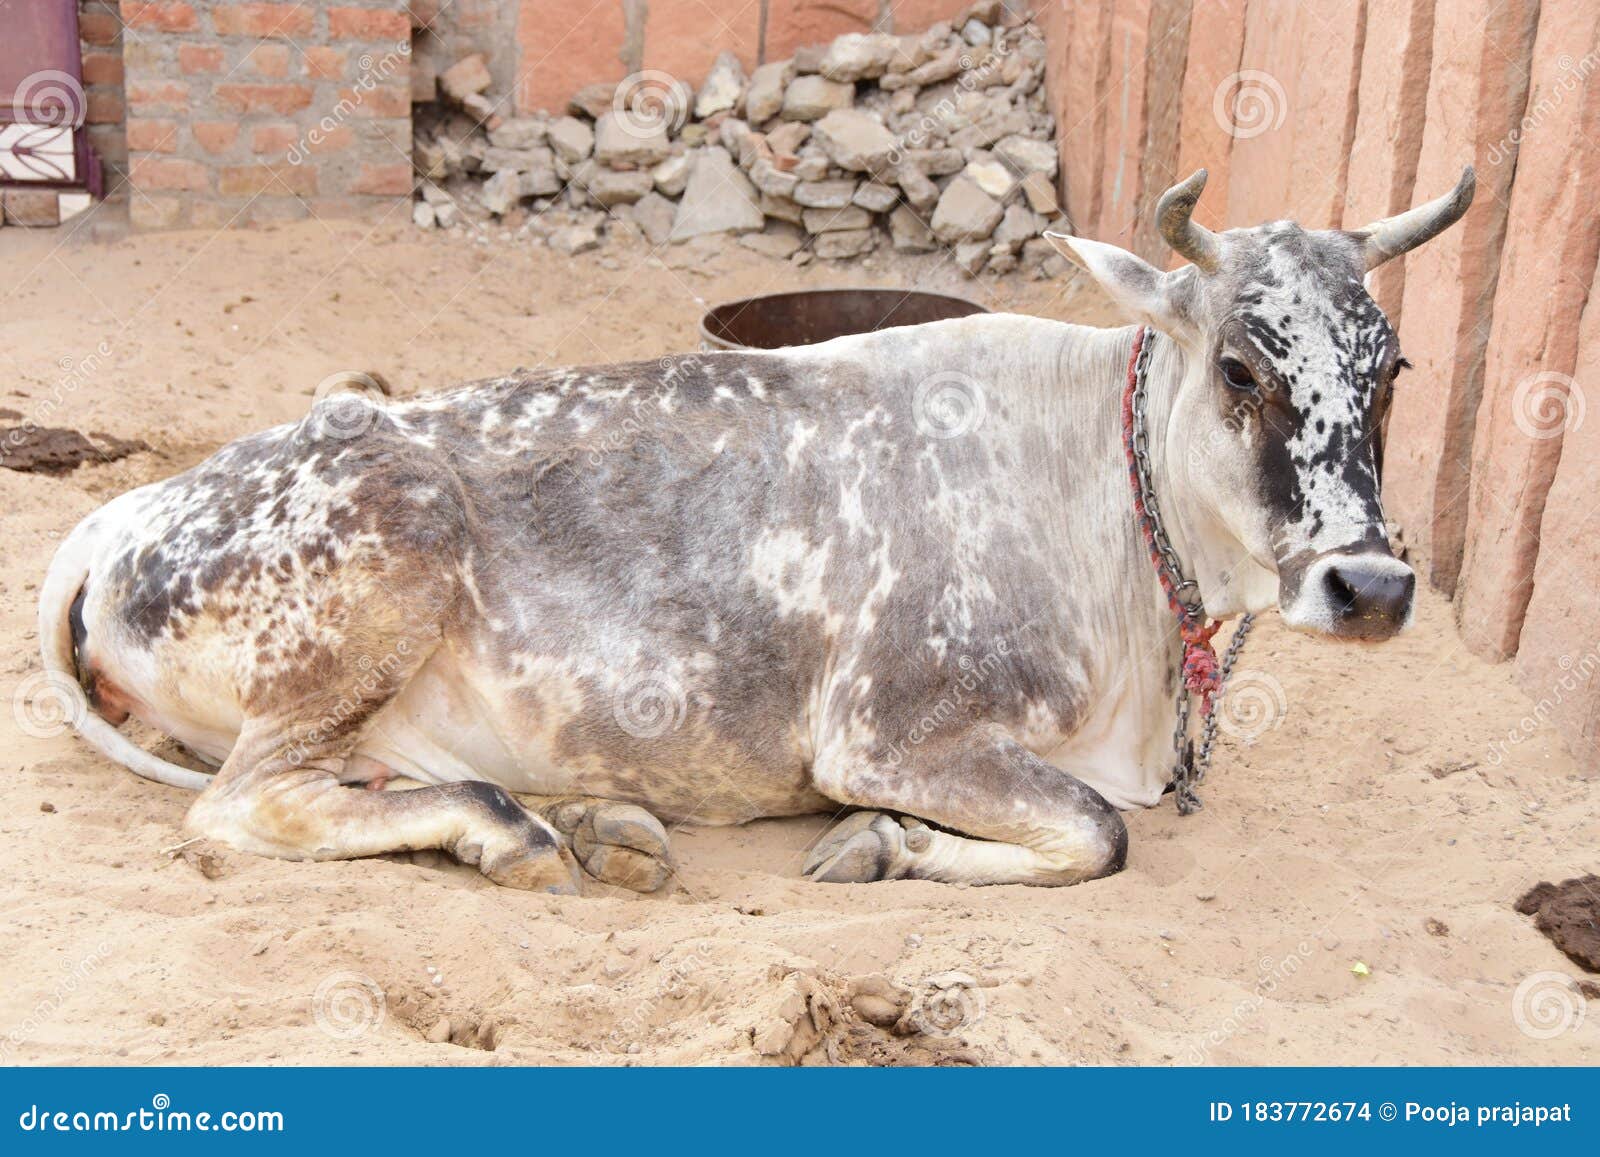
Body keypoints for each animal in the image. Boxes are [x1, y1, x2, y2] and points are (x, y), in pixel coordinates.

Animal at [36, 168, 1474, 895]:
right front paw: (878, 842)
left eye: (1394, 368)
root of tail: (130, 511)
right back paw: (511, 832)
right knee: (242, 807)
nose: (1370, 583)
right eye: (1240, 367)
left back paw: (600, 825)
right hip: (373, 576)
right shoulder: (887, 731)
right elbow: (1094, 835)